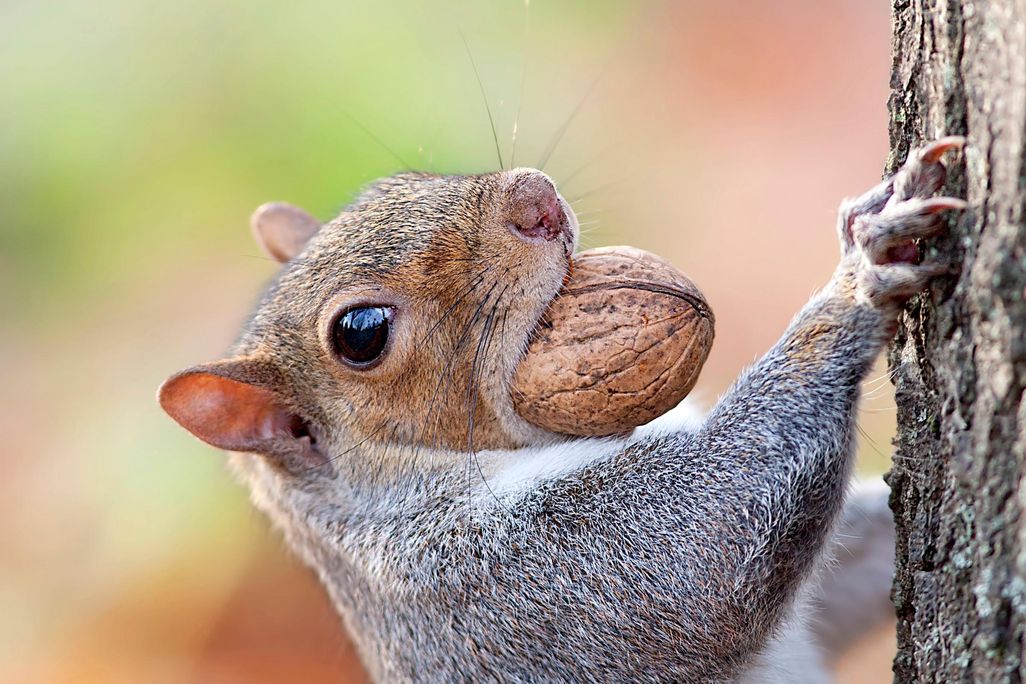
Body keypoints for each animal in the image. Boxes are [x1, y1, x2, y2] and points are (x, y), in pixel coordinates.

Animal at [159, 138, 965, 682]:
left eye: (395, 182)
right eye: (361, 333)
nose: (534, 197)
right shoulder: (505, 578)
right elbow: (706, 541)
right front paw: (859, 275)